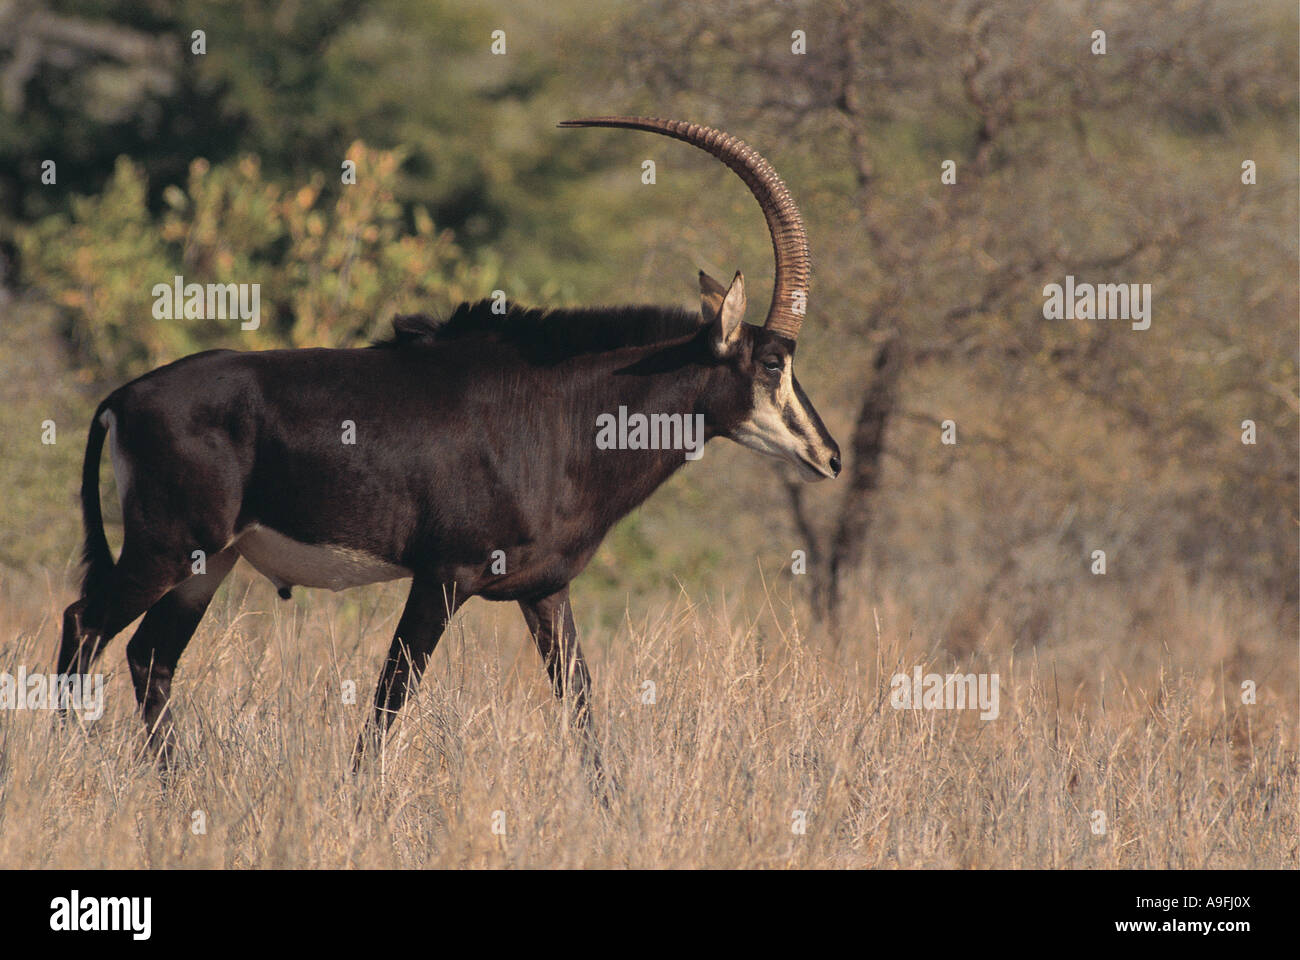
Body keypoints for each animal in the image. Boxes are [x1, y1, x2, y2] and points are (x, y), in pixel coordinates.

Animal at [58, 119, 842, 780]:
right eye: (774, 361)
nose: (830, 457)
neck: (563, 412)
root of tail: (123, 397)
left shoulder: (546, 590)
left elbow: (581, 705)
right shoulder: (443, 576)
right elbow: (390, 698)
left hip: (207, 563)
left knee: (147, 656)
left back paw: (179, 786)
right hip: (166, 548)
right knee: (84, 628)